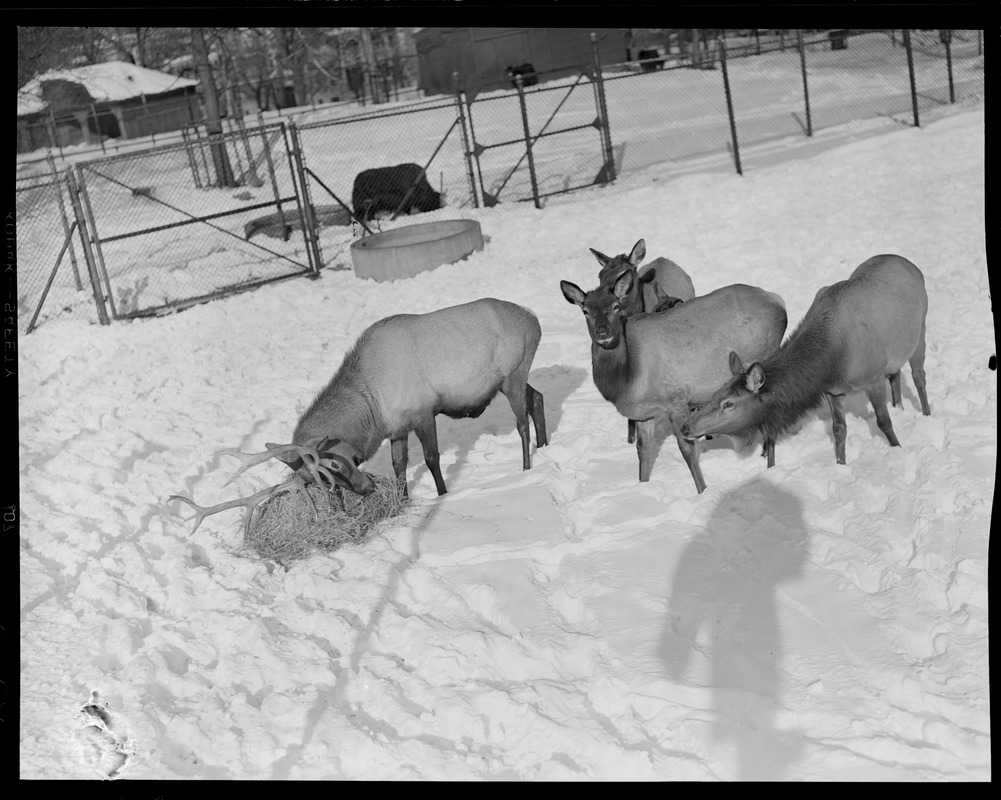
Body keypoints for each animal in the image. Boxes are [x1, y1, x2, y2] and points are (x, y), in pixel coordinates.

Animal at [170, 298, 548, 533]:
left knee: (520, 422)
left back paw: (526, 466)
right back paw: (545, 446)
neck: (373, 411)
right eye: (321, 485)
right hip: (512, 380)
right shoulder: (397, 427)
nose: (365, 489)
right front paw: (403, 500)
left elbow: (431, 459)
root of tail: (533, 317)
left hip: (513, 374)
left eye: (334, 466)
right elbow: (399, 465)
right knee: (538, 397)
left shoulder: (423, 411)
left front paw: (442, 495)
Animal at [561, 269, 786, 494]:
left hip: (765, 356)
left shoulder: (675, 398)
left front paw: (702, 490)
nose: (603, 332)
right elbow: (643, 449)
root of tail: (779, 301)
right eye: (585, 311)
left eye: (616, 306)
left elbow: (686, 448)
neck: (628, 381)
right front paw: (642, 487)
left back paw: (770, 466)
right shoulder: (644, 413)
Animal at [681, 254, 931, 468]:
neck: (832, 360)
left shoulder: (873, 378)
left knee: (919, 376)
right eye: (715, 394)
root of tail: (911, 265)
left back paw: (927, 414)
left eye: (728, 404)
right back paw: (900, 406)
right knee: (896, 372)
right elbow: (839, 429)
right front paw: (840, 465)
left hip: (921, 329)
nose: (685, 427)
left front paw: (898, 448)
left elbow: (883, 421)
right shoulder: (832, 390)